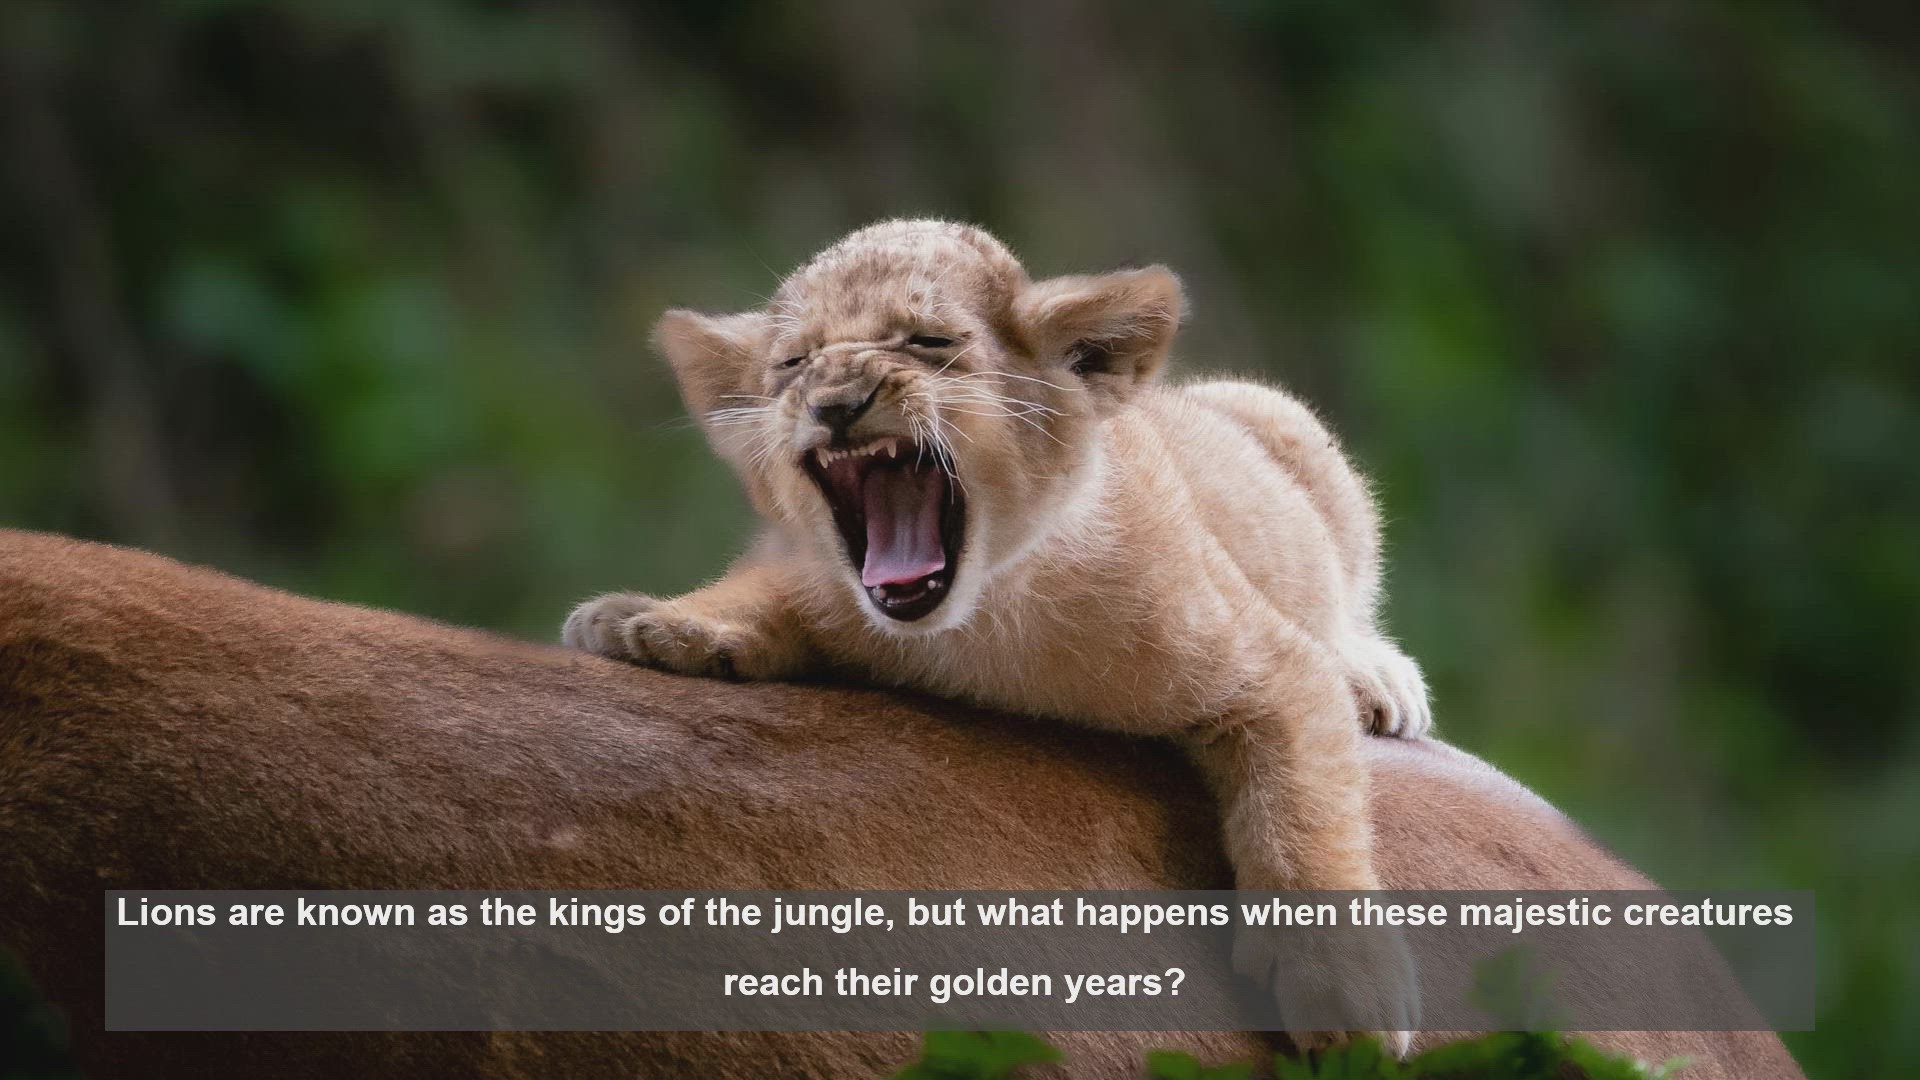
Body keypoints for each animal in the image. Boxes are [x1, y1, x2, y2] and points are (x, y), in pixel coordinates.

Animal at [563, 219, 1432, 1051]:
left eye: (927, 342)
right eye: (794, 362)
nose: (835, 401)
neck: (977, 625)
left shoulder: (1270, 665)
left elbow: (1302, 807)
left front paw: (1345, 992)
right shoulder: (809, 574)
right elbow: (759, 589)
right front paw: (649, 620)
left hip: (1283, 420)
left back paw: (1378, 678)